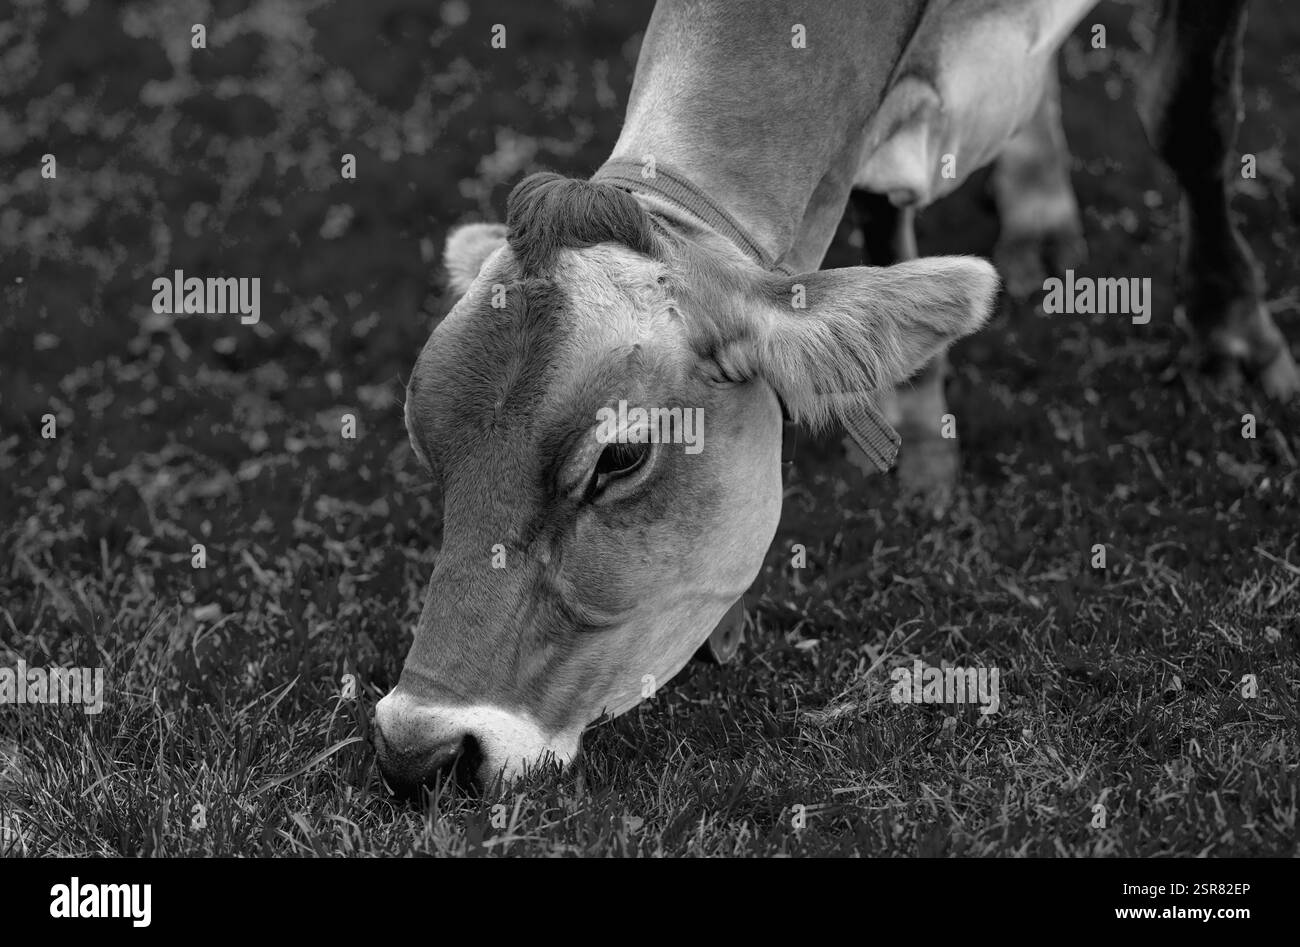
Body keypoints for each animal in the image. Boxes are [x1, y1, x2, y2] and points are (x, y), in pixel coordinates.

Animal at [375, 0, 1296, 794]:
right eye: (424, 444)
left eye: (622, 457)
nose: (418, 751)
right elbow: (884, 208)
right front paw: (919, 434)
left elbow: (1190, 114)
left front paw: (1235, 337)